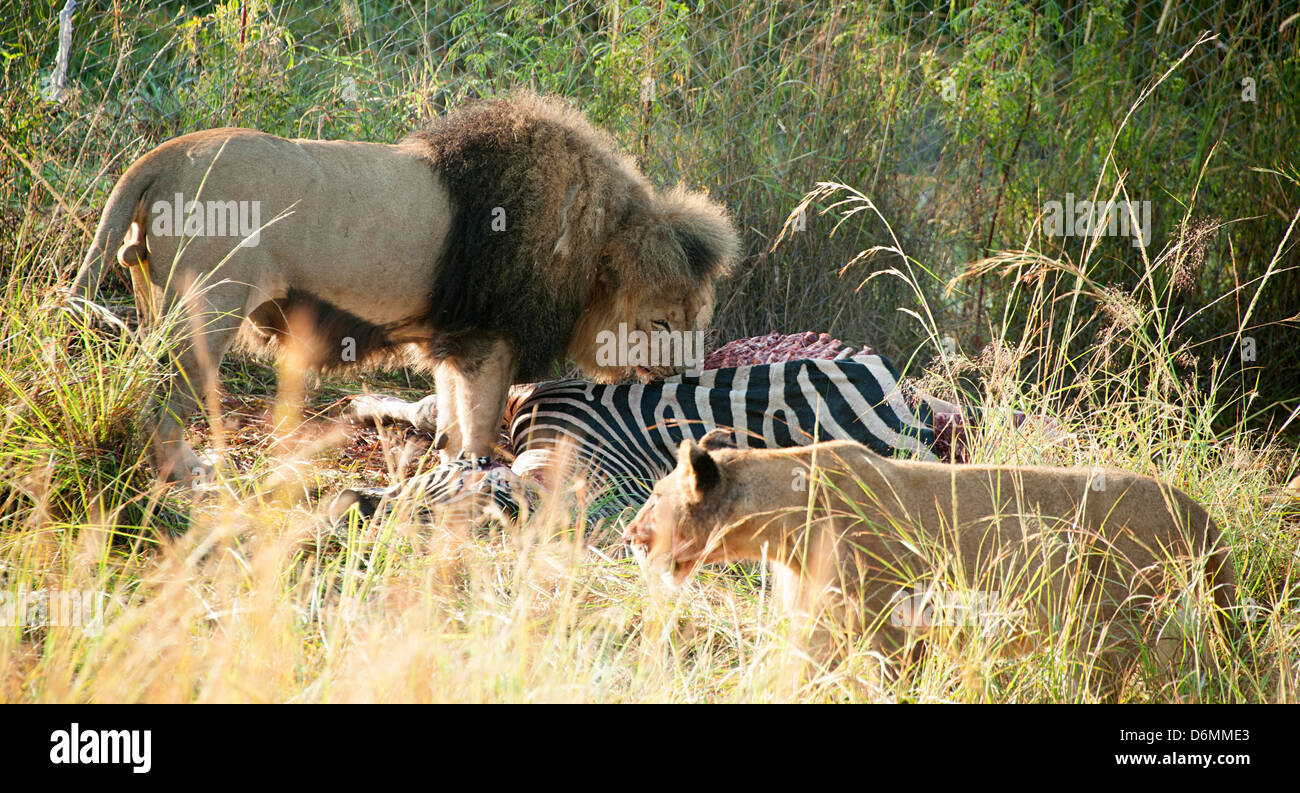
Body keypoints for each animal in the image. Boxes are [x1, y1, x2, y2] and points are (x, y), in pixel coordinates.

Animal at [69, 92, 739, 483]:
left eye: (699, 319)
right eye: (661, 321)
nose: (687, 376)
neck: (589, 241)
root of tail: (165, 154)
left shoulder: (457, 341)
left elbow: (452, 417)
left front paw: (447, 468)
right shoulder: (490, 339)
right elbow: (480, 423)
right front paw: (477, 476)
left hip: (156, 299)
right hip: (210, 307)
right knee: (162, 401)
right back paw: (192, 472)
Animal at [624, 436, 1241, 697]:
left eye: (654, 495)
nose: (628, 536)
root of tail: (1195, 508)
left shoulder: (890, 628)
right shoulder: (818, 629)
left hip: (1115, 626)